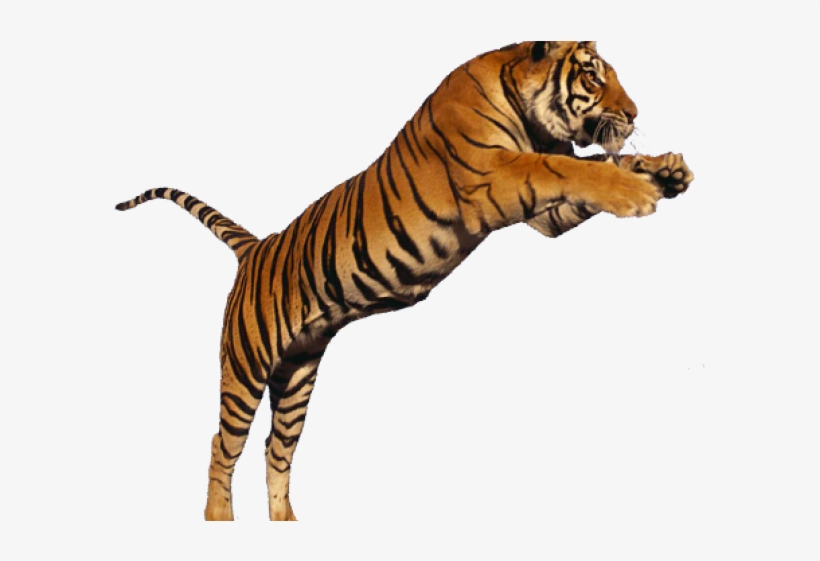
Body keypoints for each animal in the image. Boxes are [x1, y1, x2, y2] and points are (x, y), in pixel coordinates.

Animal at [116, 40, 693, 521]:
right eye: (594, 76)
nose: (635, 114)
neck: (527, 113)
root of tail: (255, 247)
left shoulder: (545, 215)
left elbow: (600, 165)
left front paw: (665, 168)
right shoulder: (497, 177)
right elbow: (576, 169)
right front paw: (636, 190)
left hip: (298, 374)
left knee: (276, 450)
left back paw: (286, 523)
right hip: (246, 364)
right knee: (222, 444)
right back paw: (218, 519)